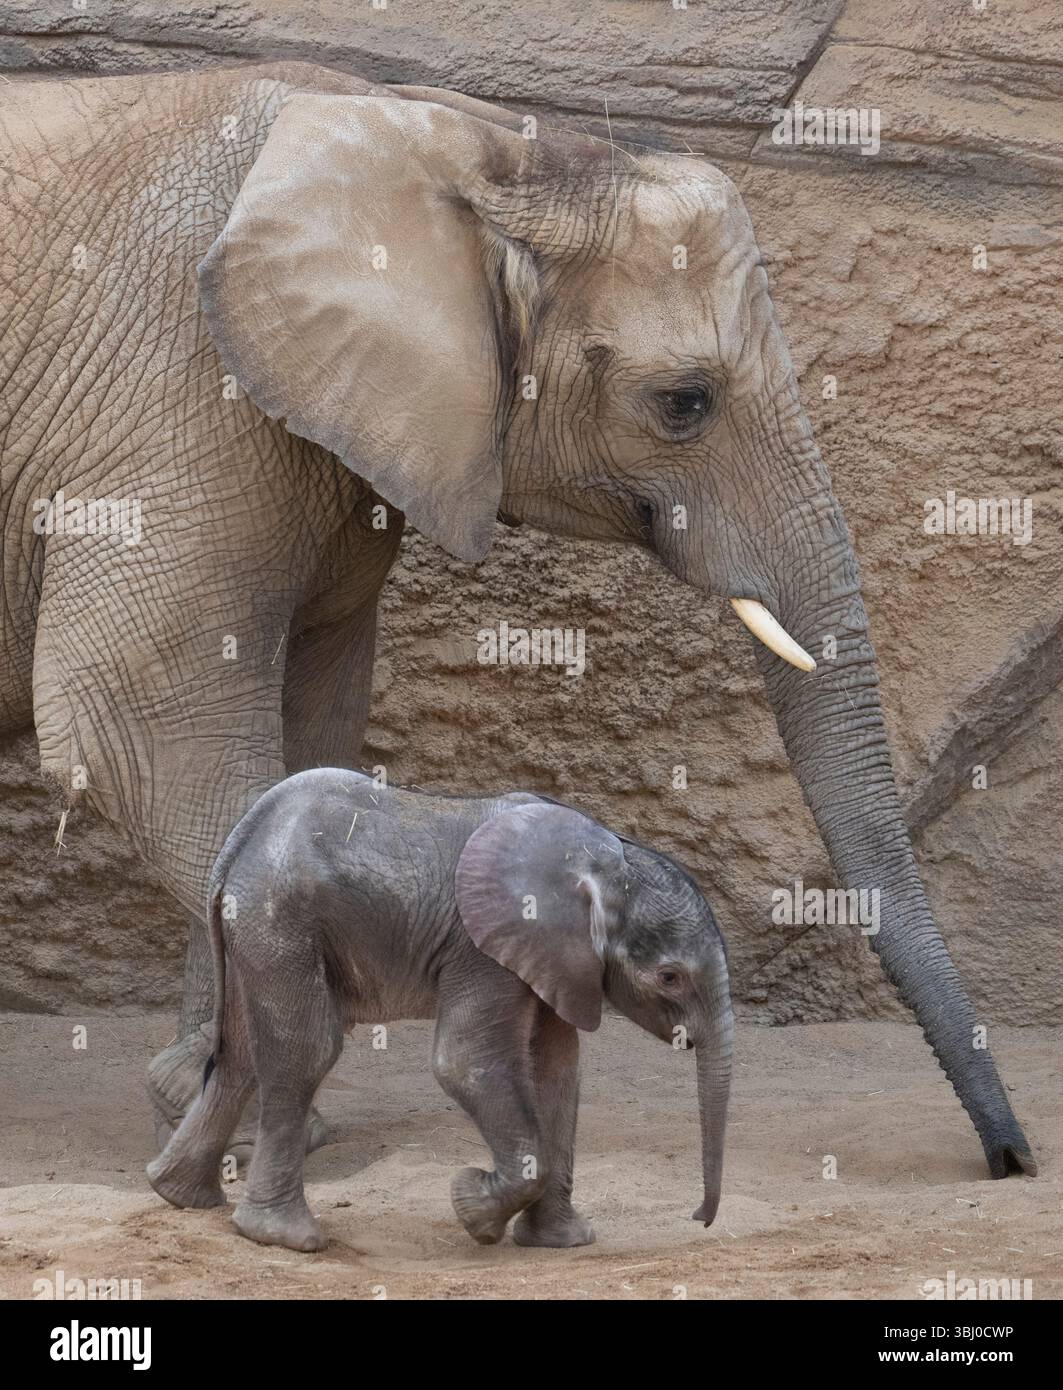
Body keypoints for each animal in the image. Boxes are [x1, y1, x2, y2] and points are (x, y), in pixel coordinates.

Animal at [0, 62, 1034, 1177]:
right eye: (684, 402)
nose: (1011, 1161)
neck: (471, 144)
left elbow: (302, 743)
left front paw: (231, 1120)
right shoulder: (173, 397)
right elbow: (138, 729)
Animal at [145, 771, 734, 1252]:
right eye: (670, 977)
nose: (699, 1219)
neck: (607, 856)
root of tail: (239, 841)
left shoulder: (557, 957)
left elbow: (558, 1073)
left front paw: (561, 1243)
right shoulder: (486, 946)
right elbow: (465, 1062)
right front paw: (472, 1211)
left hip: (257, 925)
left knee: (240, 1056)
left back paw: (178, 1195)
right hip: (282, 919)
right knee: (306, 1051)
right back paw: (286, 1238)